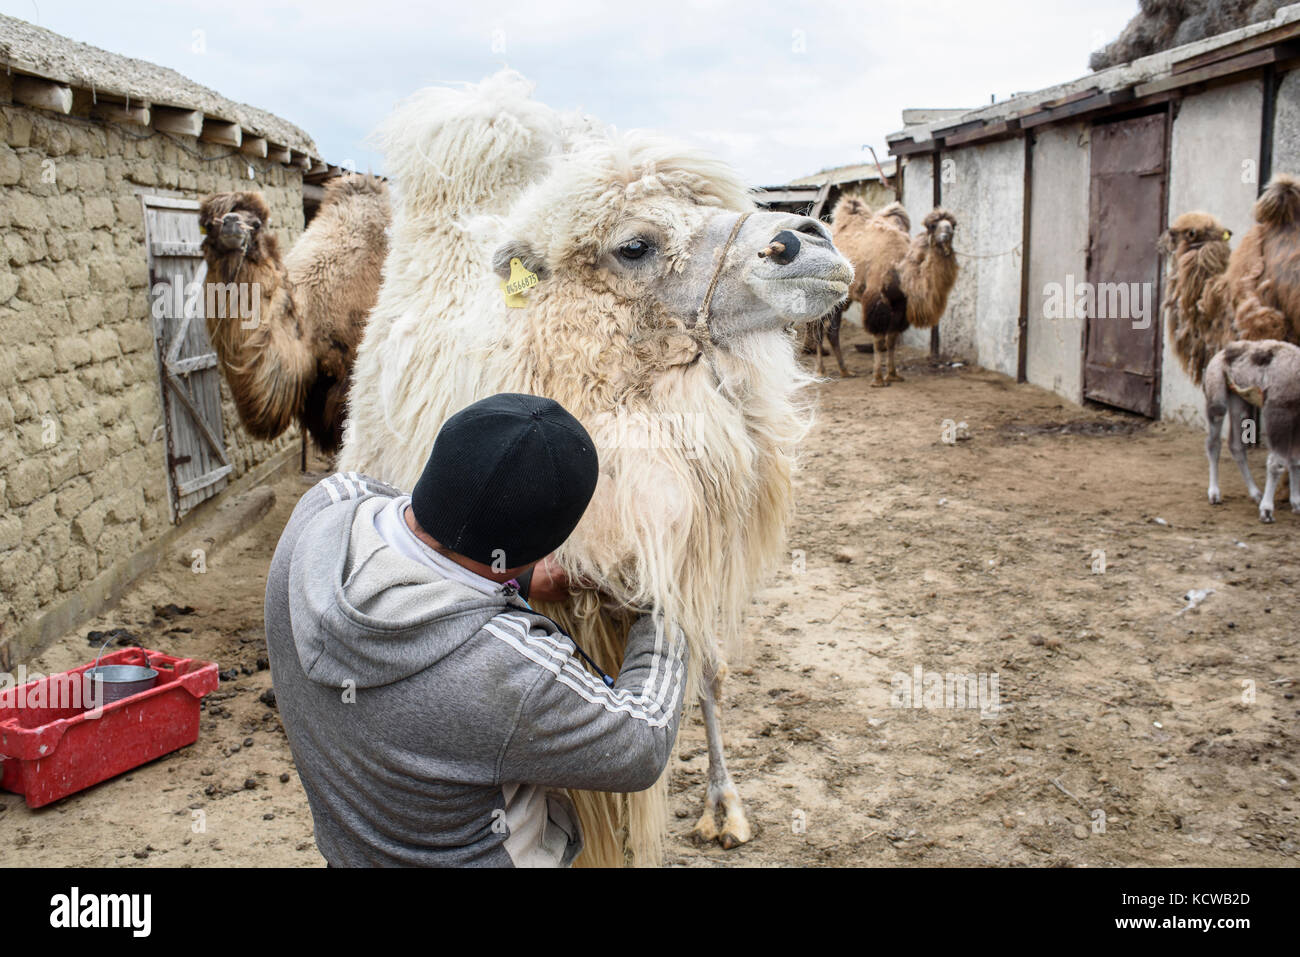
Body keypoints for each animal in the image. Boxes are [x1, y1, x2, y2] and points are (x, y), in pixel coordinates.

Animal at [827, 198, 958, 384]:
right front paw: (878, 379)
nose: (947, 232)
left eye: (954, 224)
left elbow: (891, 339)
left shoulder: (900, 304)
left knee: (832, 332)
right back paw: (820, 371)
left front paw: (893, 374)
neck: (898, 271)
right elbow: (879, 340)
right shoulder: (876, 299)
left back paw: (844, 371)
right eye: (932, 225)